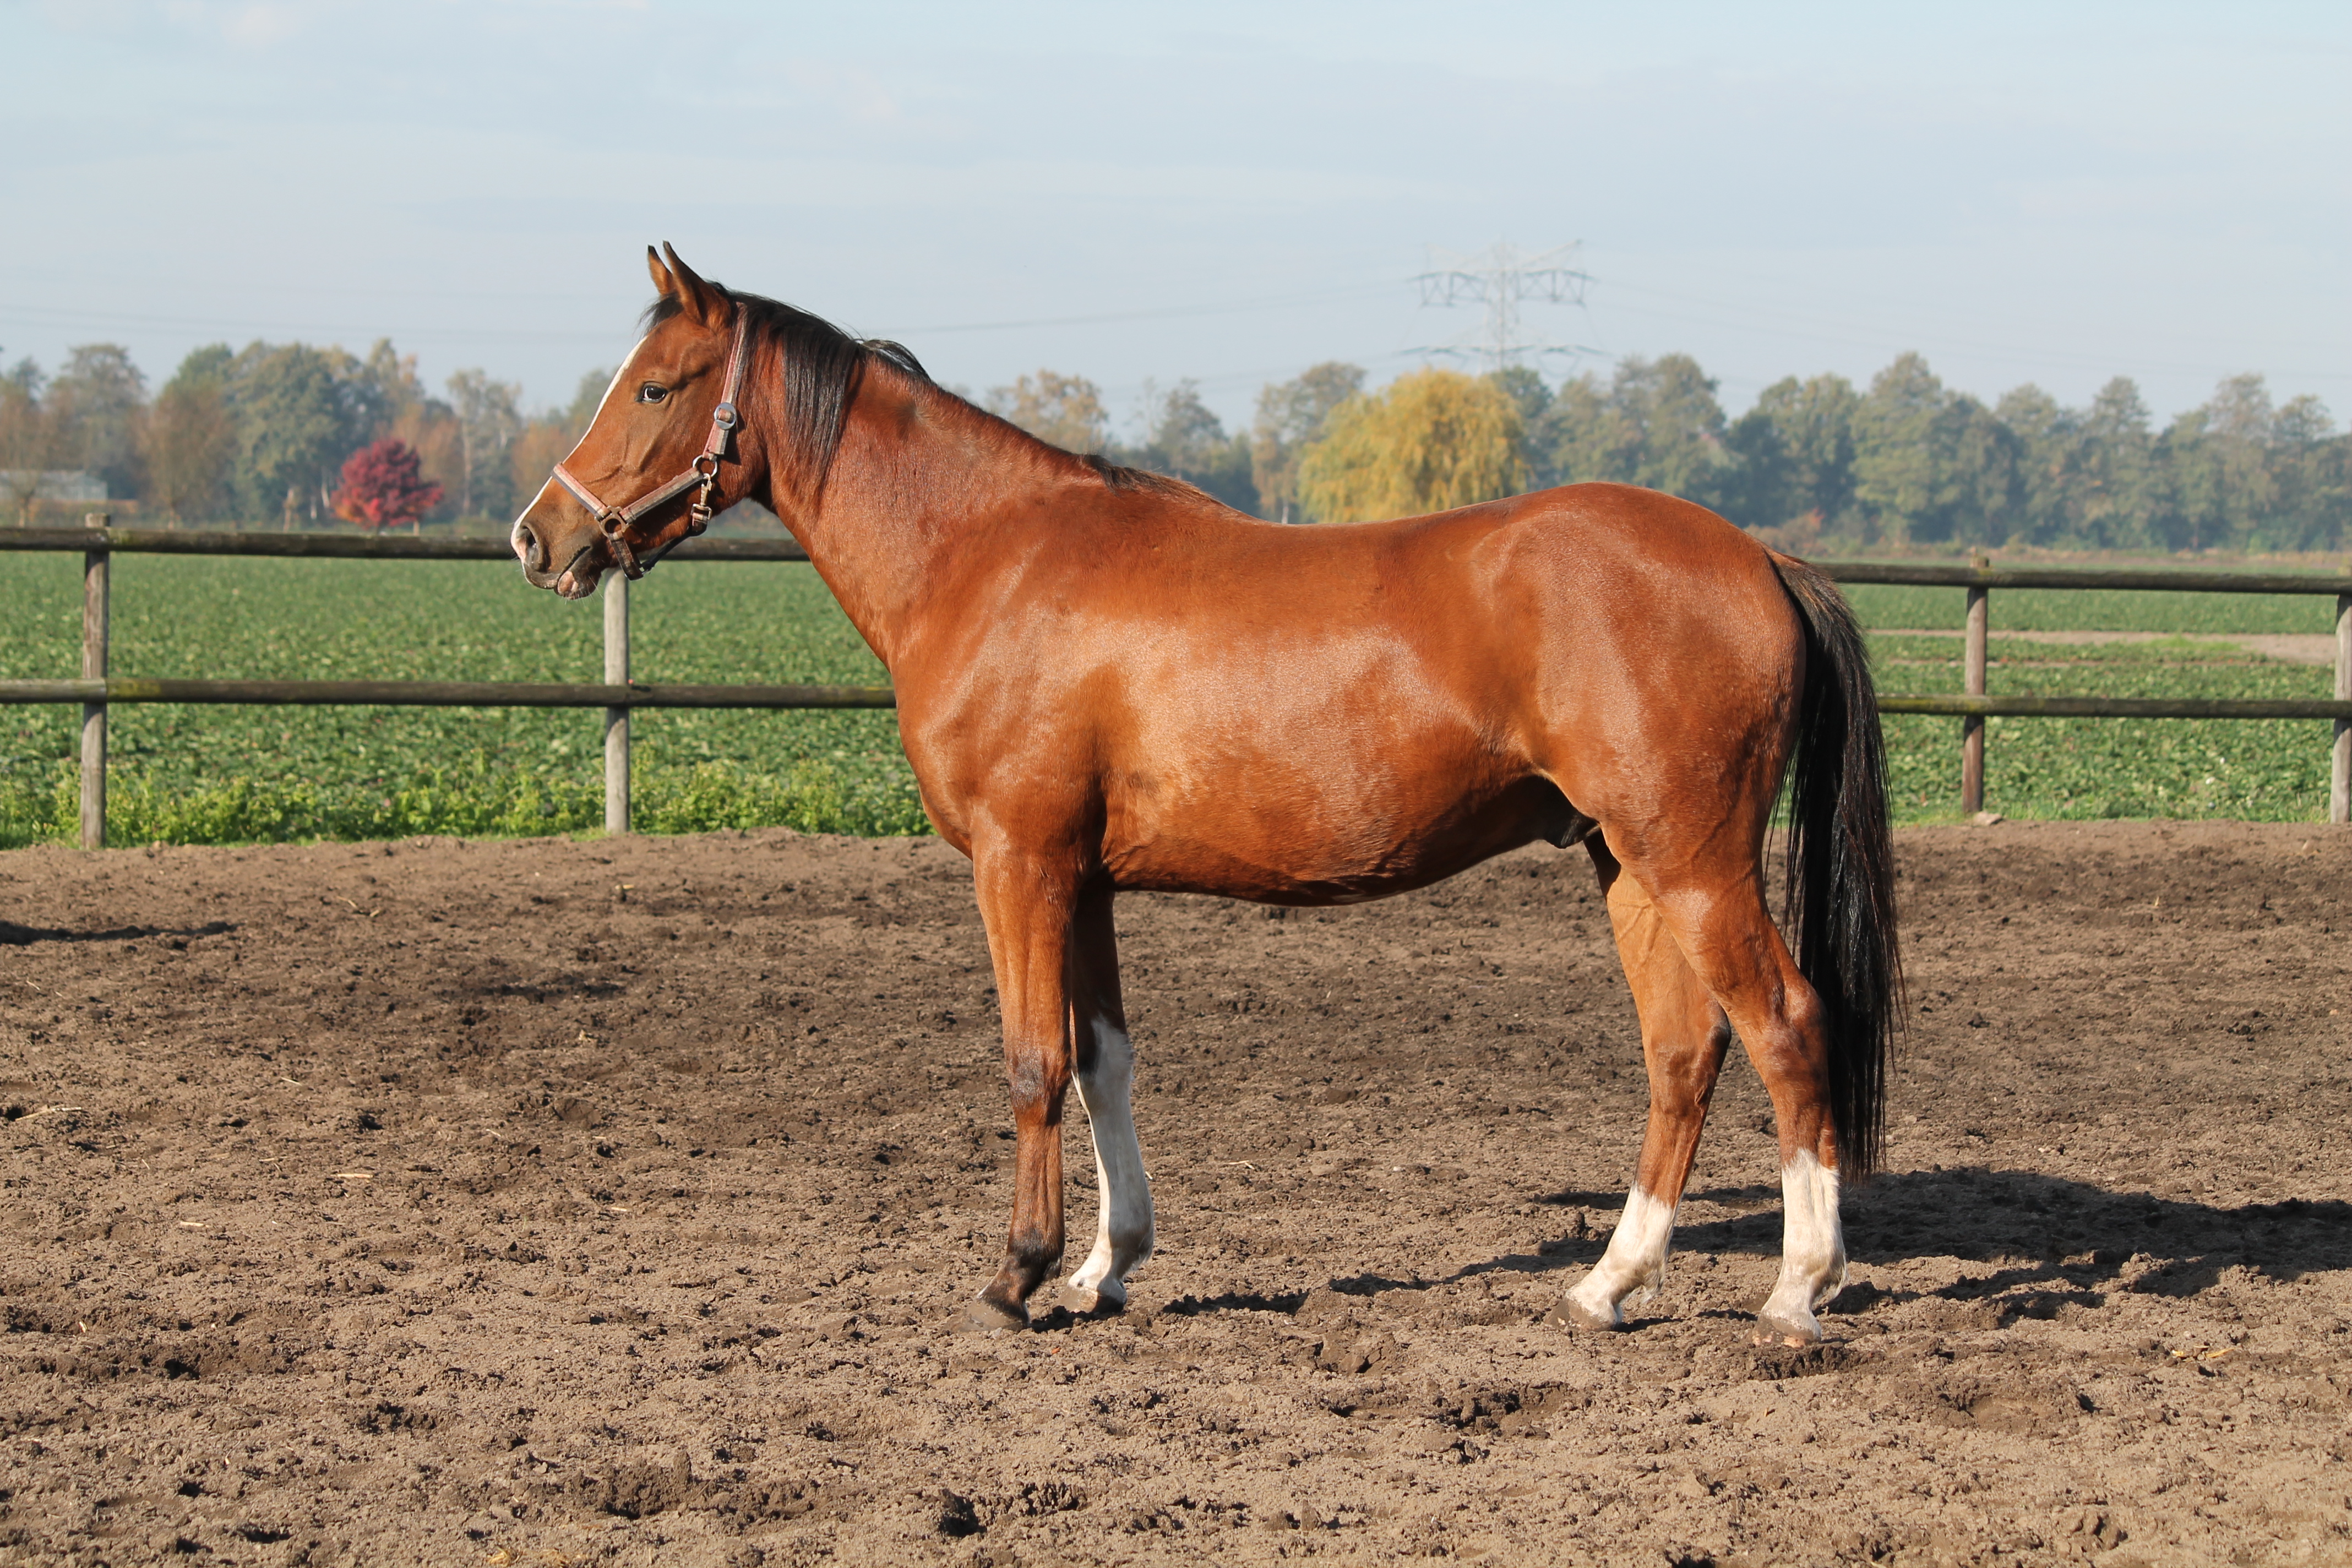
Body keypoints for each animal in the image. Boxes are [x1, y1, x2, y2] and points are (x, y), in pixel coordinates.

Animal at [511, 245, 1902, 1345]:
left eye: (653, 386)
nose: (539, 537)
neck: (990, 559)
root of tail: (1755, 554)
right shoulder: (1081, 881)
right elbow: (1102, 1065)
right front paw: (1104, 1265)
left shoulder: (1019, 864)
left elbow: (1032, 1061)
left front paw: (1016, 1274)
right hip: (1627, 862)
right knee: (1684, 1049)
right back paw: (1611, 1280)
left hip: (1695, 862)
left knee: (1786, 1024)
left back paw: (1799, 1289)